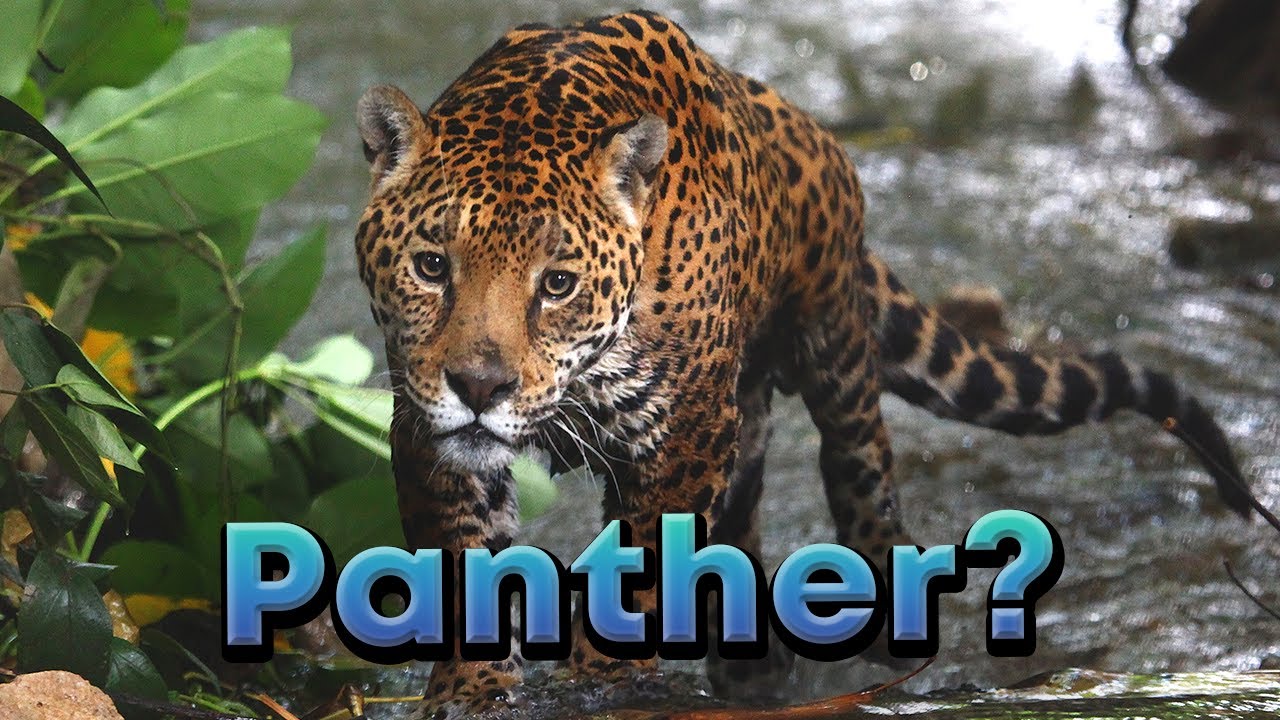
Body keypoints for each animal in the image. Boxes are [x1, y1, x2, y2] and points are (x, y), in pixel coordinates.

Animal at [353, 10, 1256, 718]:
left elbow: (639, 573)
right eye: (431, 266)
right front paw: (470, 692)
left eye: (558, 285)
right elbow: (461, 556)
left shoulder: (682, 438)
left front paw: (599, 683)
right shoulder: (427, 427)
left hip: (837, 373)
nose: (479, 387)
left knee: (865, 496)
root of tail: (809, 135)